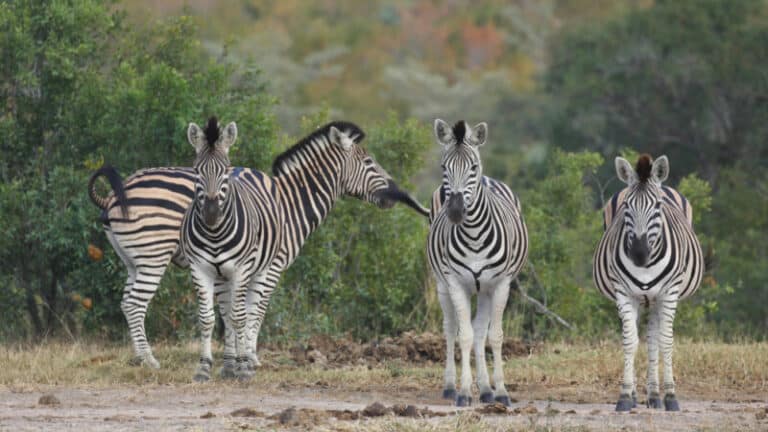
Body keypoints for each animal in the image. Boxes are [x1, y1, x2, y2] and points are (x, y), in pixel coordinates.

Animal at [426, 119, 529, 407]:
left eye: (472, 166)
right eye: (443, 167)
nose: (455, 211)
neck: (473, 234)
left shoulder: (502, 284)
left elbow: (494, 336)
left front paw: (501, 391)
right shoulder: (454, 283)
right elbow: (464, 335)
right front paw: (463, 393)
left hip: (485, 289)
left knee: (482, 331)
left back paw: (486, 389)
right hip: (442, 284)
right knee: (451, 329)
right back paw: (451, 386)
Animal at [593, 154, 704, 412]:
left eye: (658, 206)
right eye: (626, 206)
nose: (639, 254)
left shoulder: (669, 293)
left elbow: (665, 341)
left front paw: (671, 396)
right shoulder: (623, 293)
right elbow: (629, 341)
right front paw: (625, 396)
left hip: (656, 299)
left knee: (654, 339)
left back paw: (655, 396)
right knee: (639, 335)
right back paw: (640, 395)